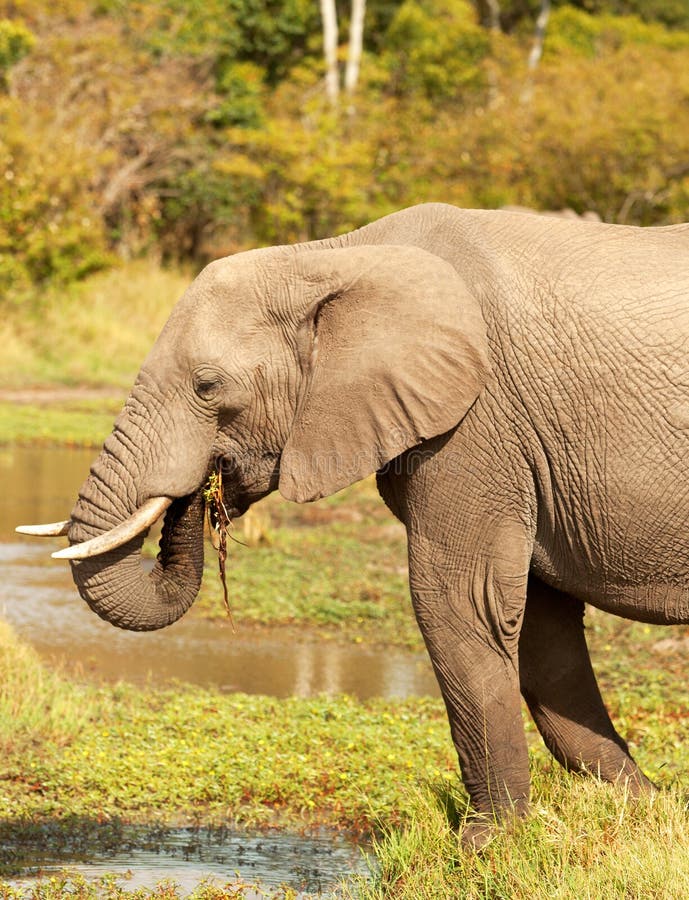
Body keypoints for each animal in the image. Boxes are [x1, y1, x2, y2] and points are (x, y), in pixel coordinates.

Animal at [18, 202, 689, 845]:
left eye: (207, 387)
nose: (203, 490)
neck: (333, 258)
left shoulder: (476, 423)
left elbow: (461, 601)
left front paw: (484, 845)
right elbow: (541, 625)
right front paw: (647, 817)